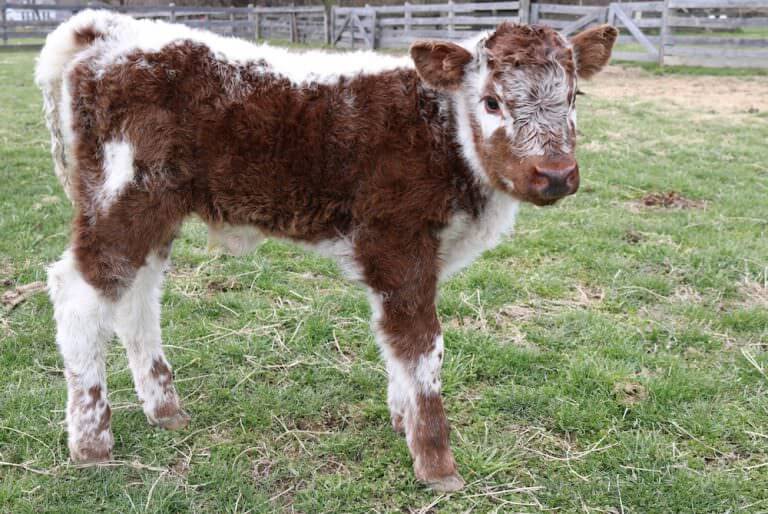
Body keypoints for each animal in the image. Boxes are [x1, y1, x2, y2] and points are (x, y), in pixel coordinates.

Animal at [36, 10, 617, 491]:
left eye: (572, 98)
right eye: (492, 101)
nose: (555, 175)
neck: (440, 128)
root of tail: (108, 30)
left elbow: (393, 344)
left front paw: (402, 421)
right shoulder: (396, 243)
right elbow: (422, 346)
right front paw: (436, 463)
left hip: (157, 211)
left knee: (136, 299)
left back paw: (164, 410)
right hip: (122, 197)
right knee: (80, 295)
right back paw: (91, 443)